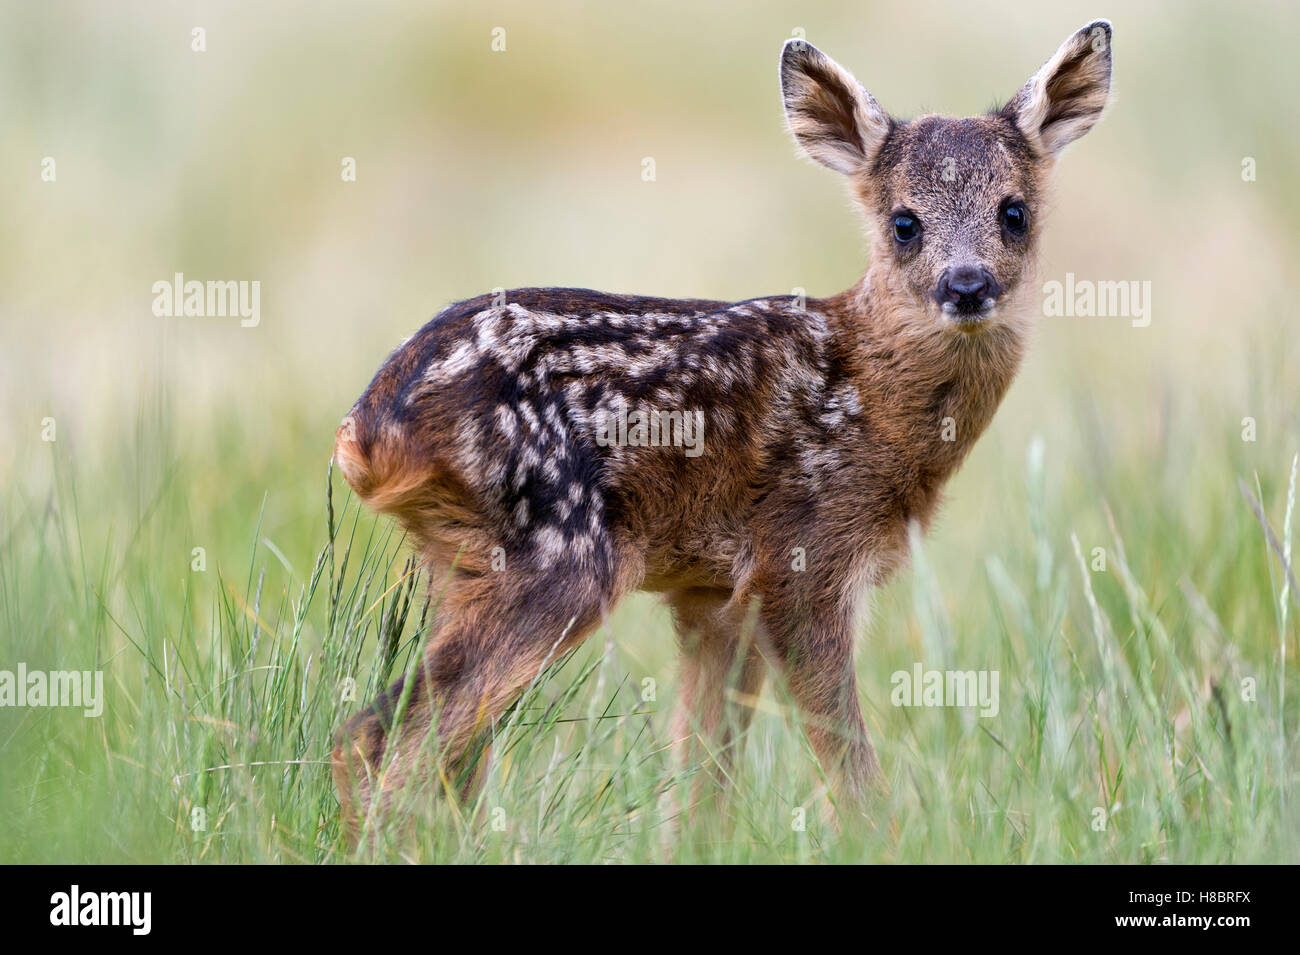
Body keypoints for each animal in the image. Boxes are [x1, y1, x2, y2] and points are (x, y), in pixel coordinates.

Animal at [330, 20, 1114, 841]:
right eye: (904, 223)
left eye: (1014, 211)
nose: (966, 285)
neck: (868, 395)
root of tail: (370, 432)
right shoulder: (801, 556)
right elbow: (849, 770)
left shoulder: (712, 594)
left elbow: (702, 788)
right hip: (558, 551)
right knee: (376, 738)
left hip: (463, 564)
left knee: (445, 759)